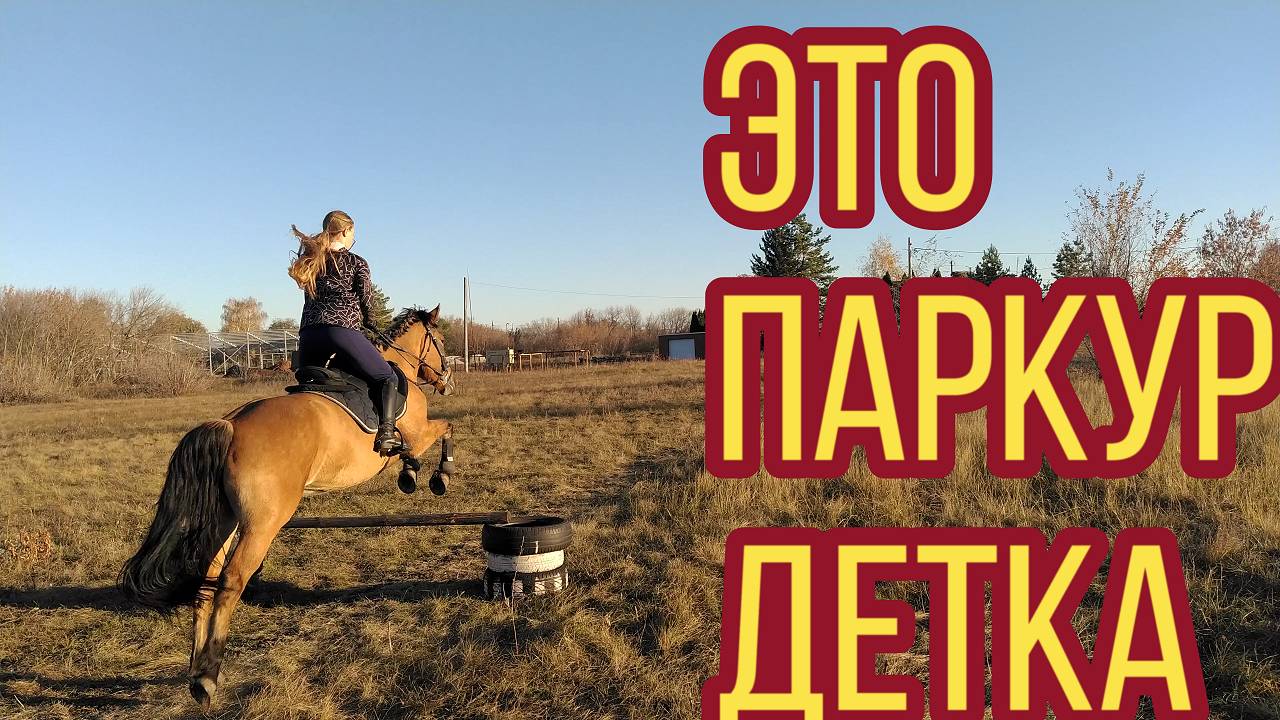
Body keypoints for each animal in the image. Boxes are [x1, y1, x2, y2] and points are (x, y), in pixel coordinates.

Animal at [119, 305, 456, 708]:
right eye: (441, 340)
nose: (446, 382)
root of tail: (230, 424)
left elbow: (423, 446)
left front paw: (411, 473)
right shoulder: (418, 433)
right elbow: (446, 428)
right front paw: (437, 476)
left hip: (225, 521)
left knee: (207, 581)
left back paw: (197, 673)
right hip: (262, 525)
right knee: (231, 581)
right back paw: (208, 677)